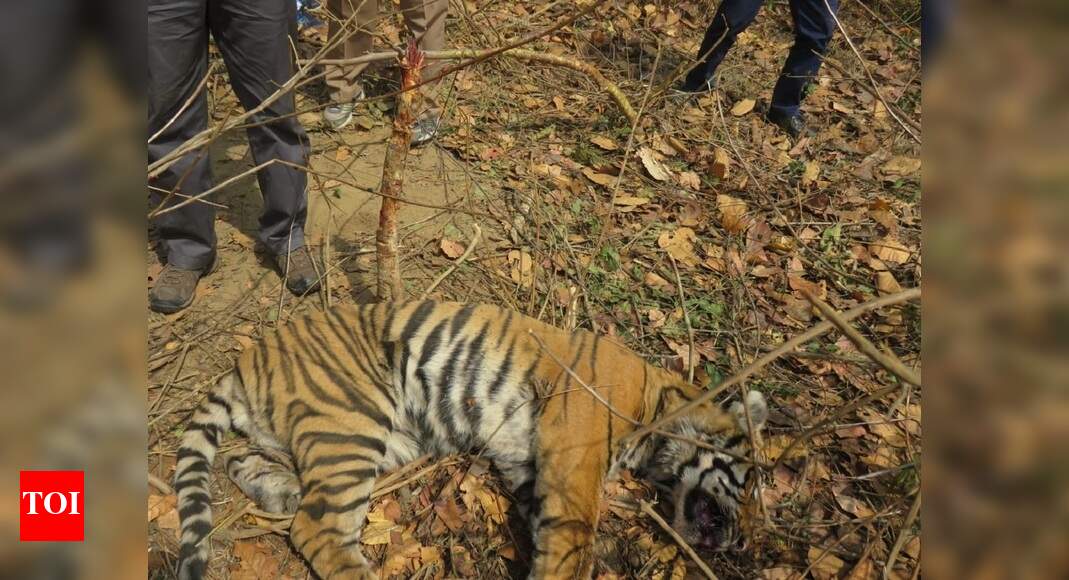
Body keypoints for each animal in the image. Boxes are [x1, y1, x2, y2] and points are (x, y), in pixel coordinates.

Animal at [174, 301, 768, 579]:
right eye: (750, 484)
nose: (743, 542)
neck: (659, 413)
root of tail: (247, 360)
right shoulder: (573, 458)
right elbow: (574, 541)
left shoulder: (528, 462)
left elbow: (547, 532)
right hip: (354, 422)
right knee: (316, 527)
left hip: (380, 439)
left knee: (247, 463)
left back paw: (280, 491)